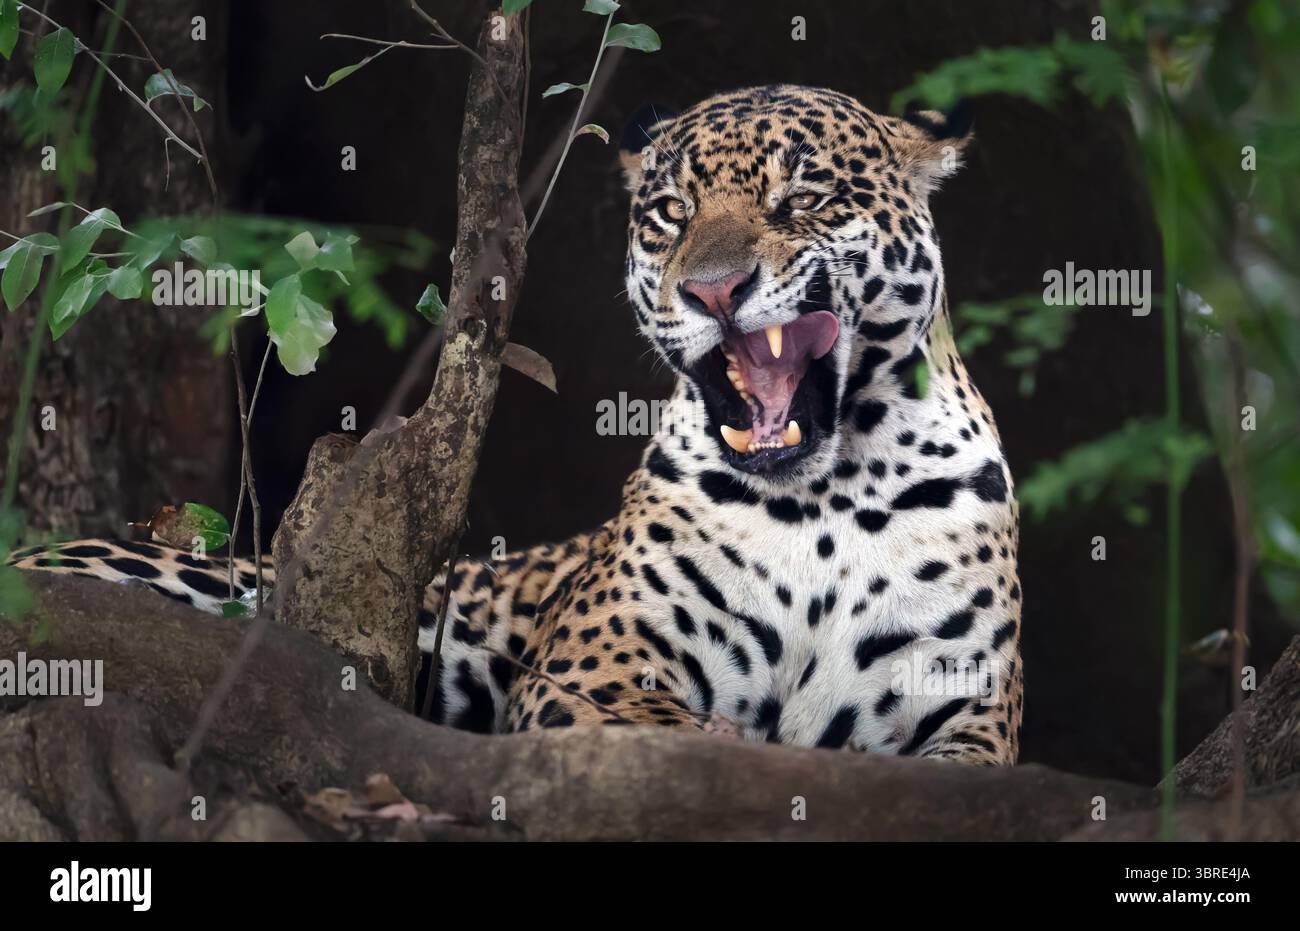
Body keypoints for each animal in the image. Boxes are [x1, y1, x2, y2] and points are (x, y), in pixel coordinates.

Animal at [8, 85, 1022, 763]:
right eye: (671, 213)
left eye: (803, 199)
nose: (712, 290)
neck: (825, 499)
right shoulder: (598, 665)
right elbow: (676, 728)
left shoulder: (968, 712)